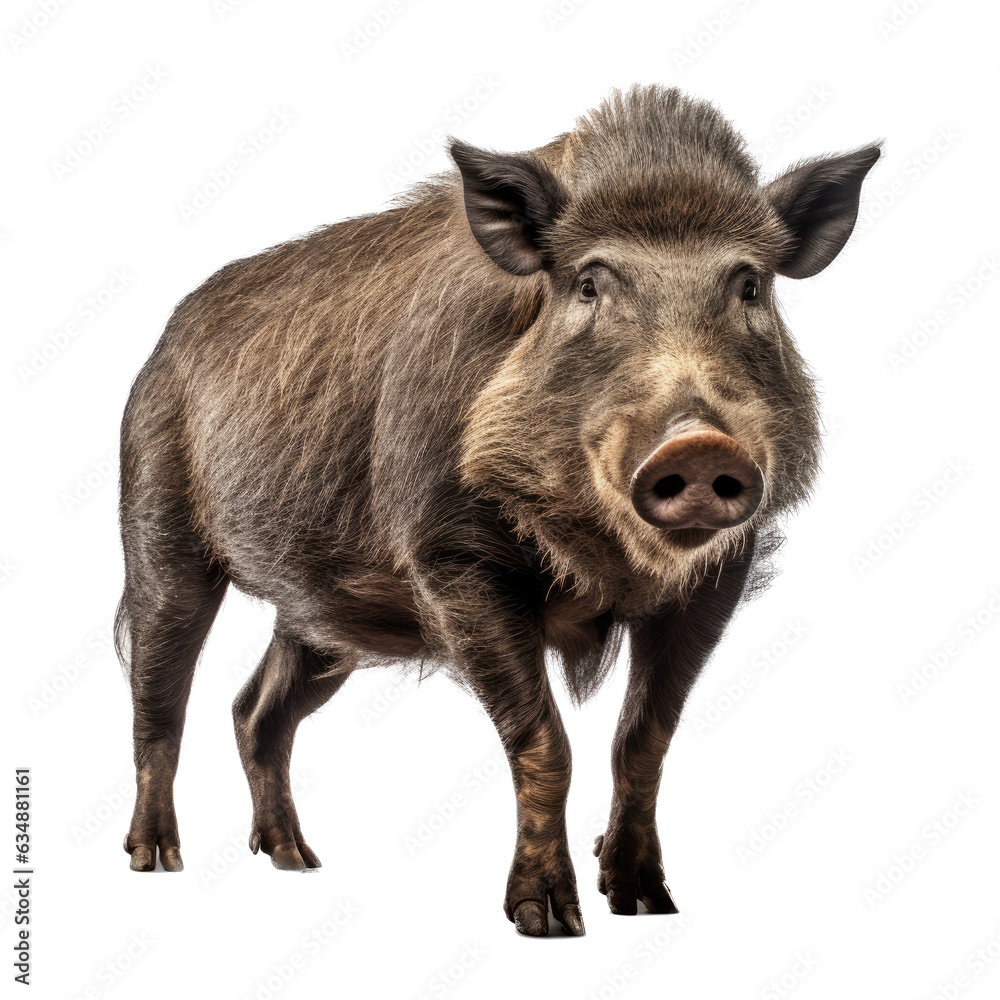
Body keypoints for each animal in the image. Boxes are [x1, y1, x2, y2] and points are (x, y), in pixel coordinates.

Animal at [116, 84, 879, 936]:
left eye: (750, 285)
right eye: (588, 283)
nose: (699, 444)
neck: (605, 557)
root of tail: (161, 344)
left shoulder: (720, 577)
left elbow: (643, 740)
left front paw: (647, 903)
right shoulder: (453, 560)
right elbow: (544, 741)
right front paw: (547, 920)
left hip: (320, 613)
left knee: (257, 710)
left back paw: (296, 859)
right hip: (156, 526)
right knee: (158, 695)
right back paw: (155, 859)